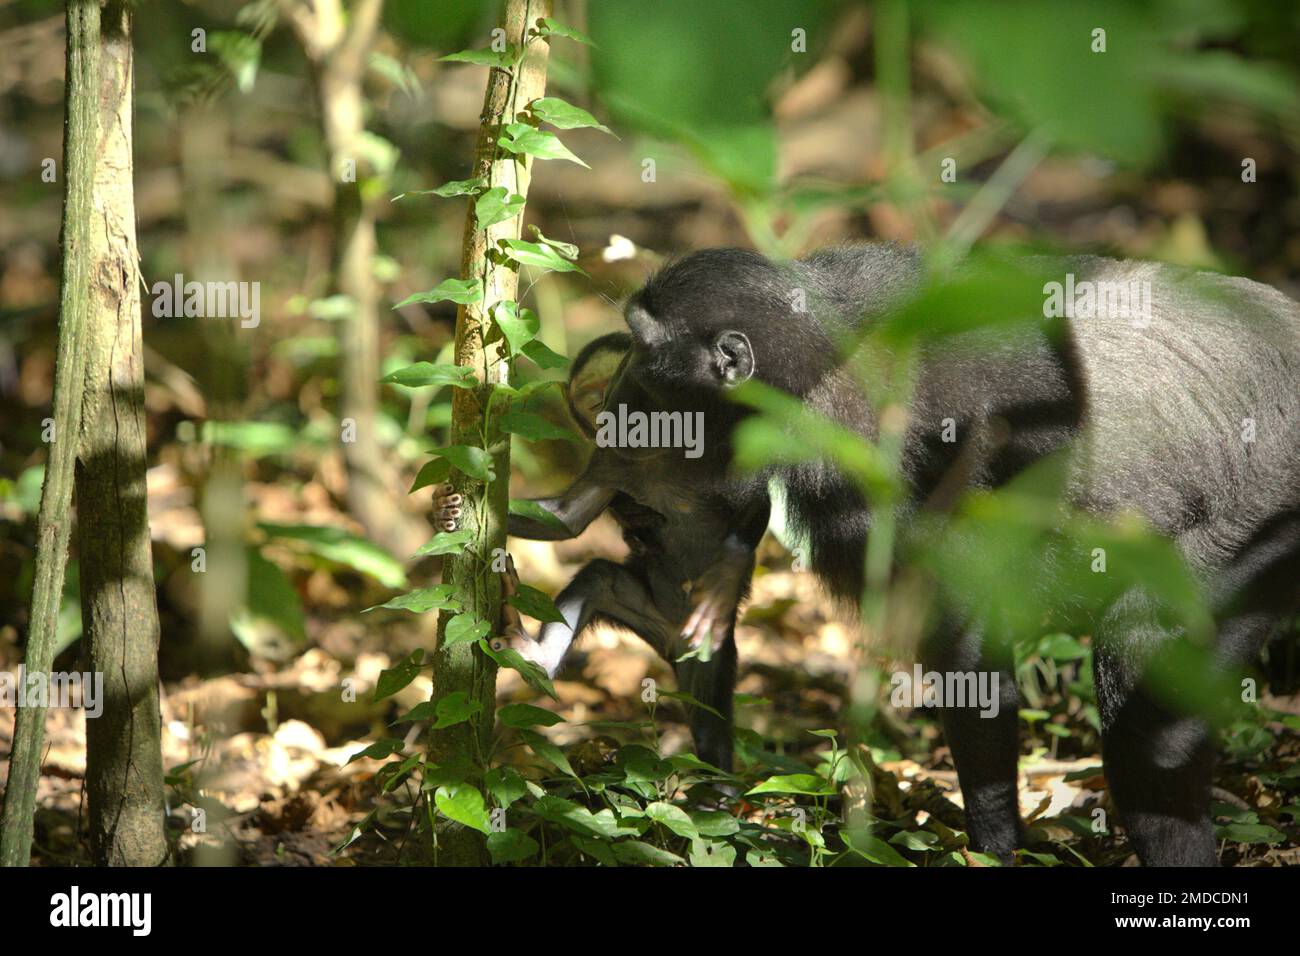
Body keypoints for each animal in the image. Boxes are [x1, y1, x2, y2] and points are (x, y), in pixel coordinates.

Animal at [435, 332, 770, 772]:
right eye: (592, 400)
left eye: (621, 384)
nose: (606, 414)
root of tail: (672, 642)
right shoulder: (610, 458)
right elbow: (567, 520)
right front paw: (442, 509)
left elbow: (758, 493)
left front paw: (725, 575)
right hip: (650, 616)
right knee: (599, 579)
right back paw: (537, 658)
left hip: (711, 648)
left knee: (712, 732)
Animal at [585, 243, 1300, 866]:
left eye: (642, 352)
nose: (607, 403)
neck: (820, 365)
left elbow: (969, 655)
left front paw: (993, 850)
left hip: (1259, 519)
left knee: (1142, 705)